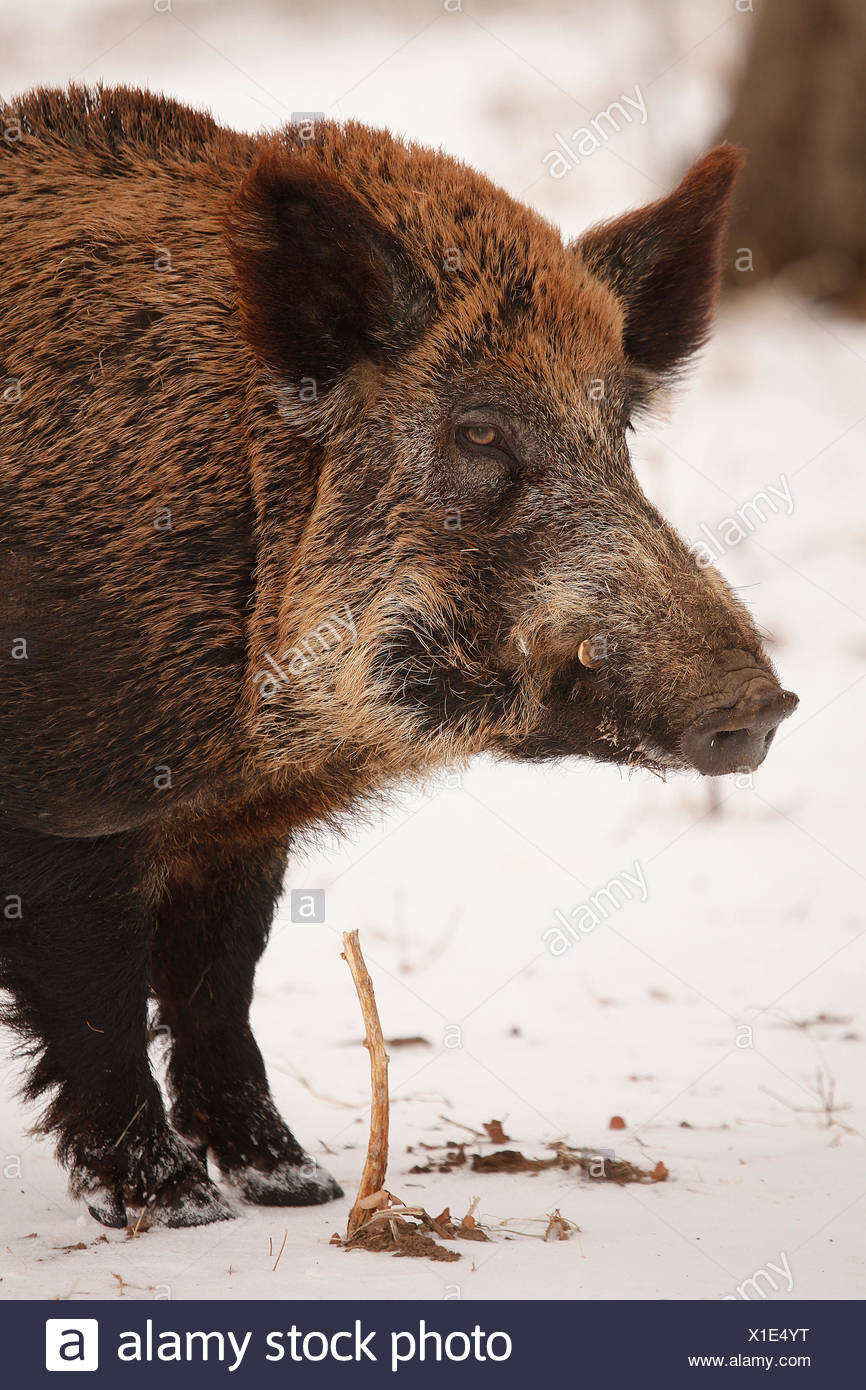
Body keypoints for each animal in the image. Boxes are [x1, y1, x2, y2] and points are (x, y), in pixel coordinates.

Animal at [0, 85, 797, 1228]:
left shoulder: (235, 829)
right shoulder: (69, 802)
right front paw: (179, 1209)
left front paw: (295, 1184)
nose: (760, 703)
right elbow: (99, 1000)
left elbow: (219, 980)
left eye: (619, 429)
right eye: (479, 431)